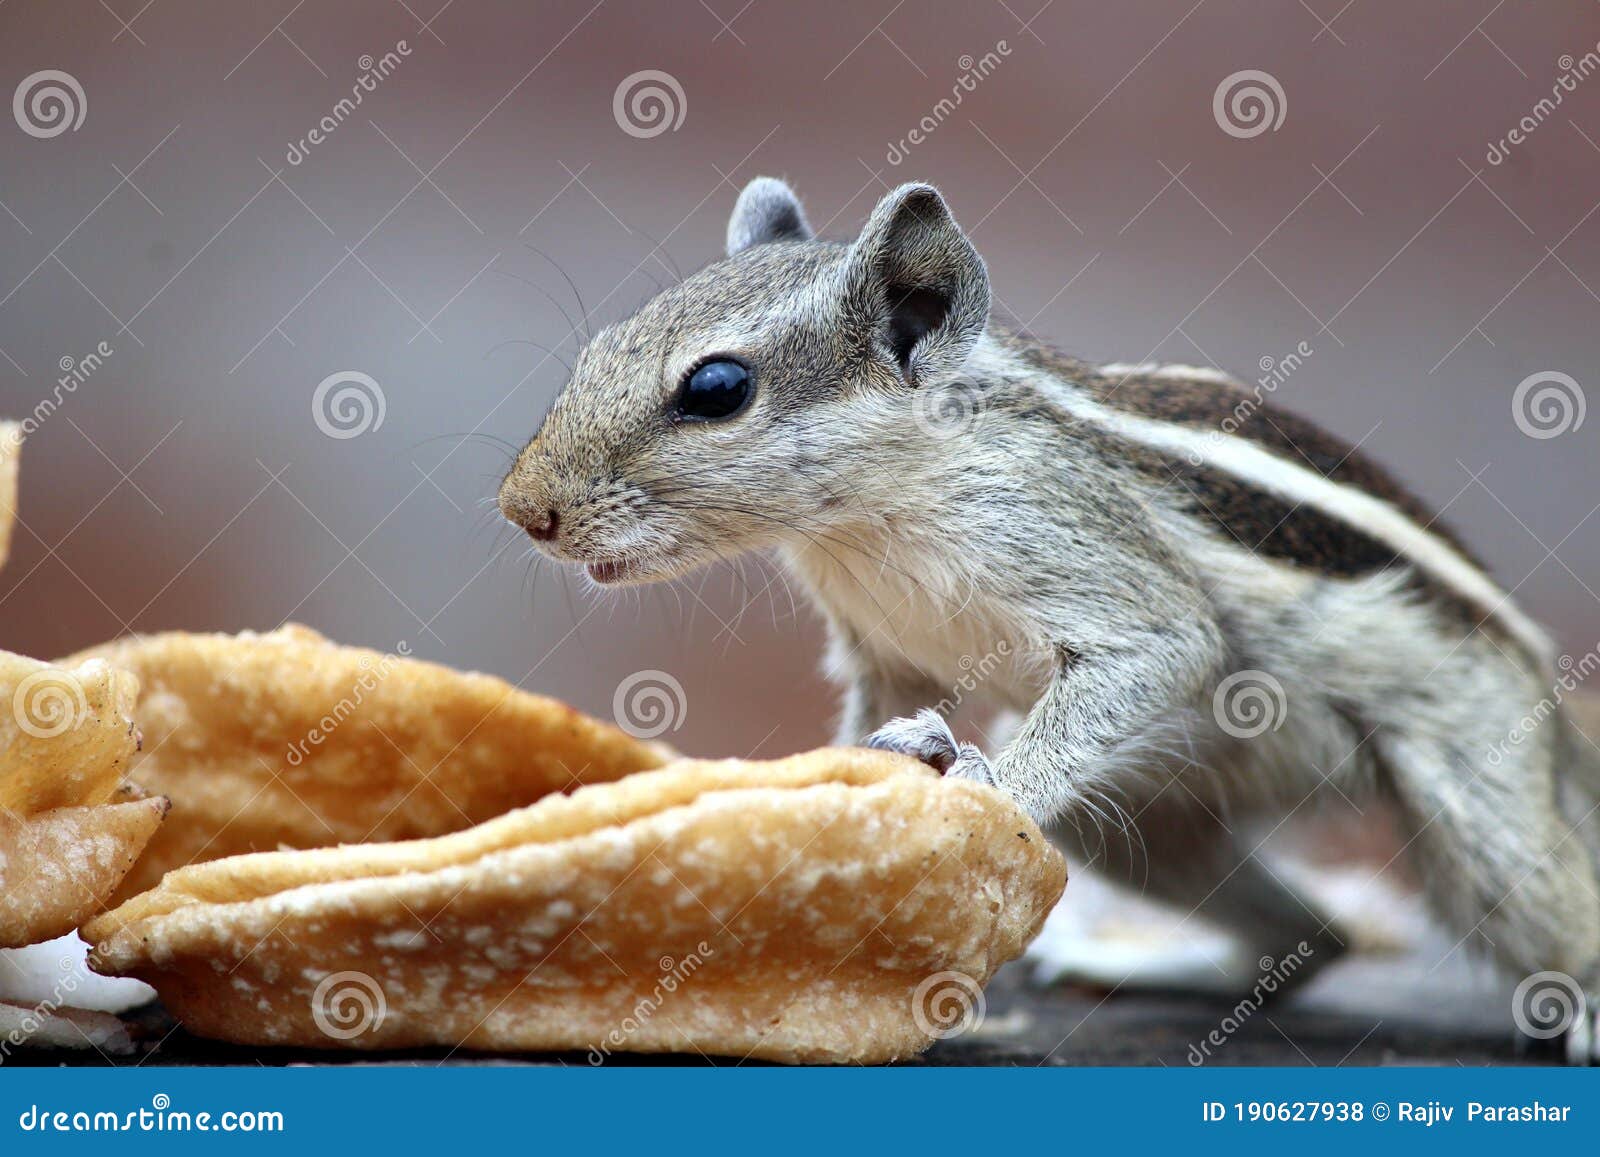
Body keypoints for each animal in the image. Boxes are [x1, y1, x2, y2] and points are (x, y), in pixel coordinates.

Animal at [500, 176, 1600, 1062]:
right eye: (600, 348)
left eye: (717, 388)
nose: (523, 510)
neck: (870, 510)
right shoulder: (882, 654)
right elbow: (871, 715)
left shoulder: (1091, 561)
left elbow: (1166, 641)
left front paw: (986, 780)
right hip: (1150, 823)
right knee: (1311, 938)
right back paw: (1159, 967)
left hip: (1478, 806)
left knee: (1538, 902)